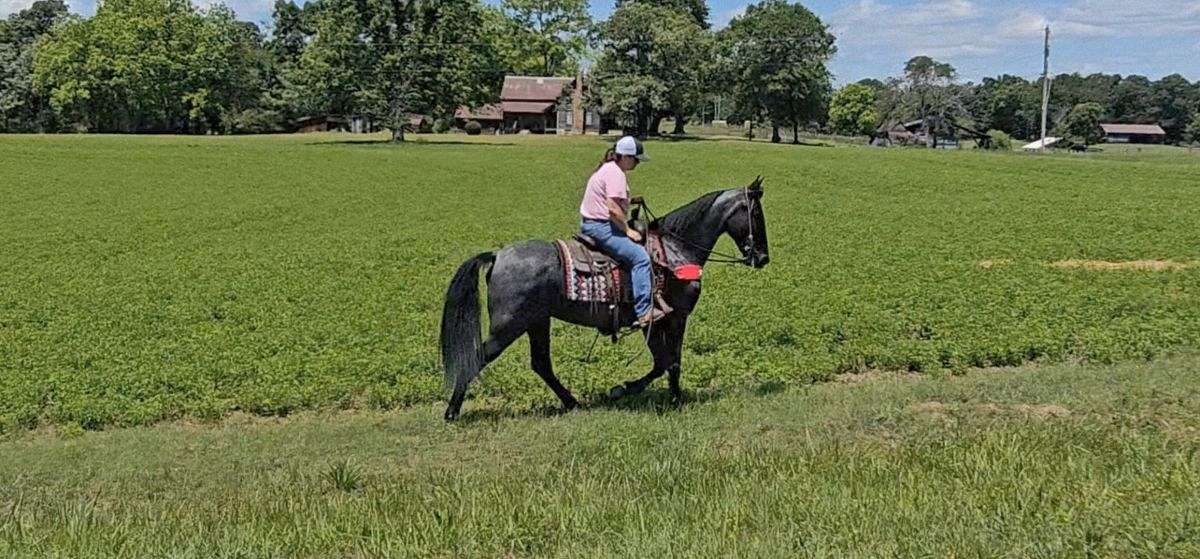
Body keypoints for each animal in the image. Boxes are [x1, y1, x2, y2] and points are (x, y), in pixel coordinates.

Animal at [439, 178, 770, 421]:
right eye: (755, 213)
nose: (763, 258)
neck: (675, 251)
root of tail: (497, 255)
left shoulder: (658, 321)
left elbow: (664, 362)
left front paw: (661, 394)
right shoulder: (673, 317)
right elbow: (669, 361)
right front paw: (639, 392)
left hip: (536, 321)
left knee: (541, 364)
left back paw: (572, 402)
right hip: (509, 326)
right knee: (479, 357)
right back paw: (452, 411)